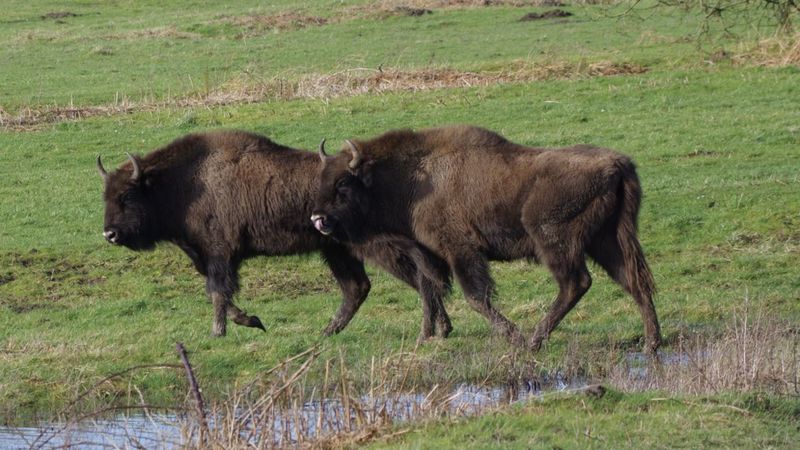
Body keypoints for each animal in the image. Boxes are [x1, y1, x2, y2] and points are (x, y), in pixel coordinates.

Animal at [98, 130, 452, 339]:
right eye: (105, 196)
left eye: (127, 196)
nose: (109, 234)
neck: (183, 183)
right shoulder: (210, 258)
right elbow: (220, 294)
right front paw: (253, 321)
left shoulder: (220, 255)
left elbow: (218, 293)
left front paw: (219, 332)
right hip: (338, 251)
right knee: (359, 287)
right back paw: (329, 331)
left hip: (375, 247)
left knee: (419, 278)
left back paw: (432, 331)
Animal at [311, 125, 661, 353]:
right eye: (322, 180)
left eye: (343, 184)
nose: (318, 219)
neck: (412, 179)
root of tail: (618, 164)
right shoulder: (428, 254)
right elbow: (429, 291)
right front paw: (425, 338)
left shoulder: (460, 250)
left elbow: (475, 297)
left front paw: (513, 338)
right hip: (607, 242)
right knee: (634, 281)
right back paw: (651, 343)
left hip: (553, 241)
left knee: (576, 283)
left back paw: (534, 341)